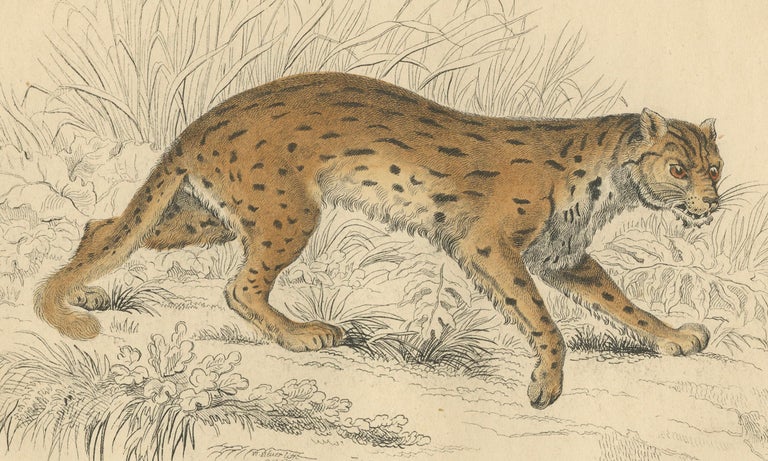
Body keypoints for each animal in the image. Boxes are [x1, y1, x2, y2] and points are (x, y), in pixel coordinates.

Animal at [35, 72, 720, 409]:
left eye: (714, 167)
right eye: (678, 168)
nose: (711, 204)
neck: (608, 178)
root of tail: (203, 120)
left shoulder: (564, 258)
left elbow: (625, 303)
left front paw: (675, 336)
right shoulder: (488, 245)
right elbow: (541, 318)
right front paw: (546, 384)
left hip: (211, 217)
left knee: (105, 226)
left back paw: (84, 296)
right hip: (287, 213)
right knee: (239, 288)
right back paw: (303, 335)